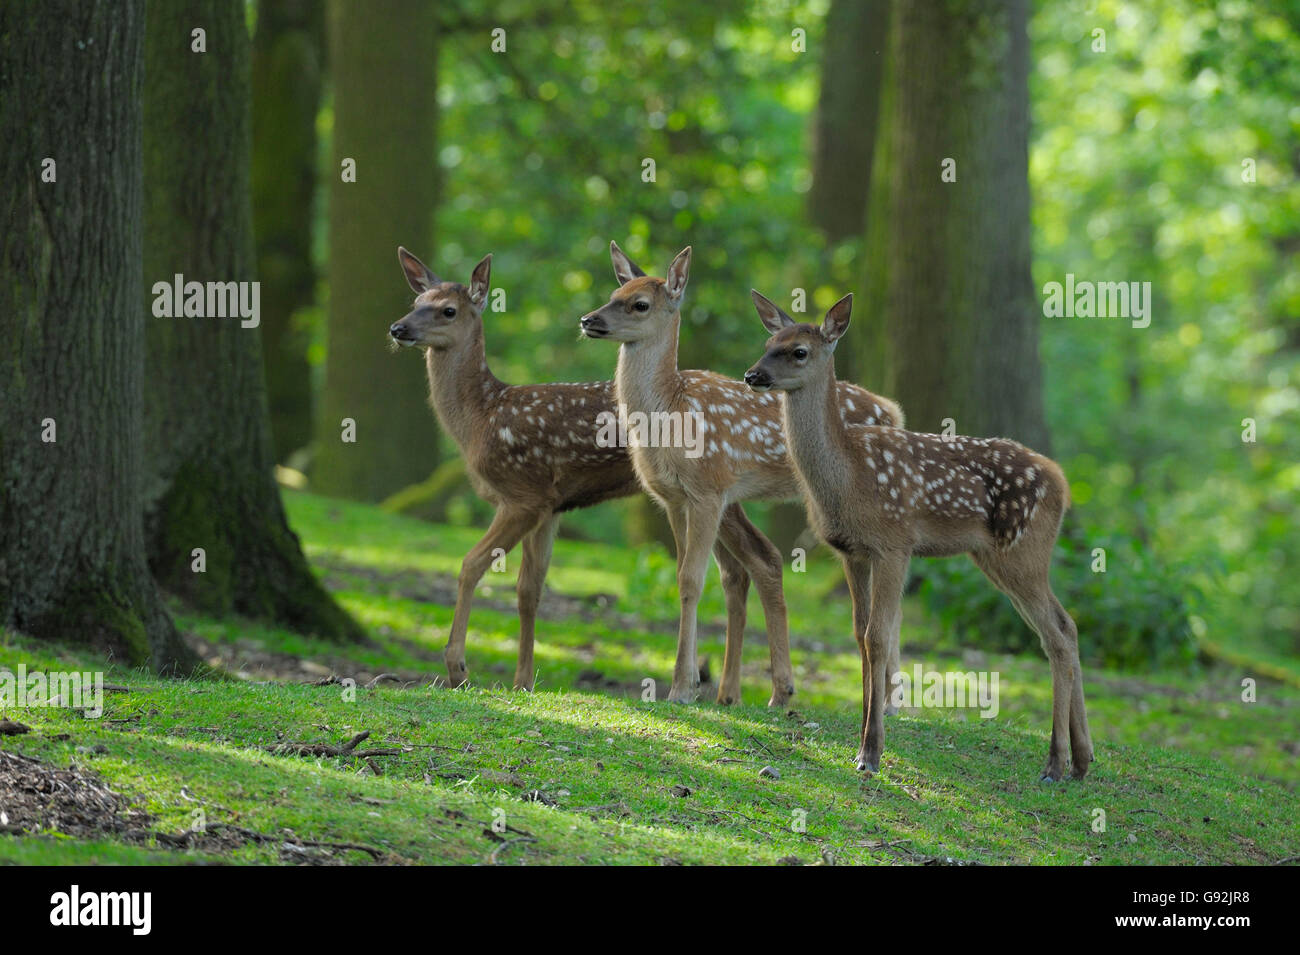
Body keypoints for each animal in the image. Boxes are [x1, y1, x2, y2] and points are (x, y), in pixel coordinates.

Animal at [388, 247, 795, 704]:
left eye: (448, 310)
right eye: (416, 302)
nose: (398, 328)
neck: (482, 417)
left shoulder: (524, 494)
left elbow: (471, 563)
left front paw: (458, 667)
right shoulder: (551, 508)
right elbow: (529, 590)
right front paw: (522, 680)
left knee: (755, 560)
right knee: (743, 567)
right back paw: (731, 692)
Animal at [578, 242, 905, 705]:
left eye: (640, 304)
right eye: (612, 292)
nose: (589, 320)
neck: (669, 412)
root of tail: (892, 411)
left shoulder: (708, 490)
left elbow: (691, 580)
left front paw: (681, 687)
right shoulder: (673, 498)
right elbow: (687, 576)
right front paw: (692, 683)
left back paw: (887, 700)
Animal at [743, 290, 1093, 782]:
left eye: (798, 351)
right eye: (768, 341)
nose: (752, 375)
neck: (847, 477)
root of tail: (1062, 483)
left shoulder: (894, 543)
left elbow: (879, 637)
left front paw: (870, 752)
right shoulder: (852, 552)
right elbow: (859, 633)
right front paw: (862, 739)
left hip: (1022, 552)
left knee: (1056, 638)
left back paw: (1055, 763)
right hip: (997, 558)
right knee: (1068, 625)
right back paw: (1082, 759)